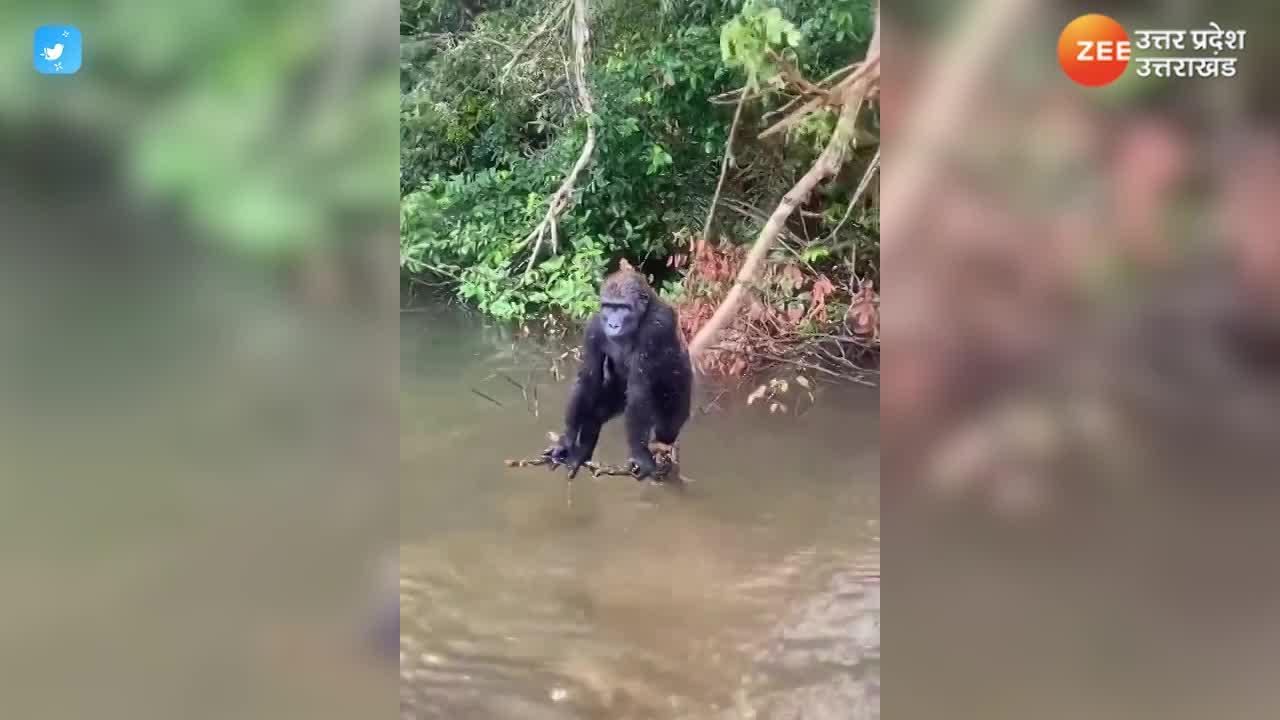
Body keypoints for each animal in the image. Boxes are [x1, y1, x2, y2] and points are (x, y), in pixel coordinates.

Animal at [549, 262, 693, 479]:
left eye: (623, 308)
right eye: (609, 307)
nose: (612, 324)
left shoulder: (656, 327)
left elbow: (639, 389)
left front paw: (640, 455)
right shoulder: (593, 328)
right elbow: (588, 378)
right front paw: (566, 439)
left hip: (681, 391)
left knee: (669, 424)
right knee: (595, 412)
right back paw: (580, 453)